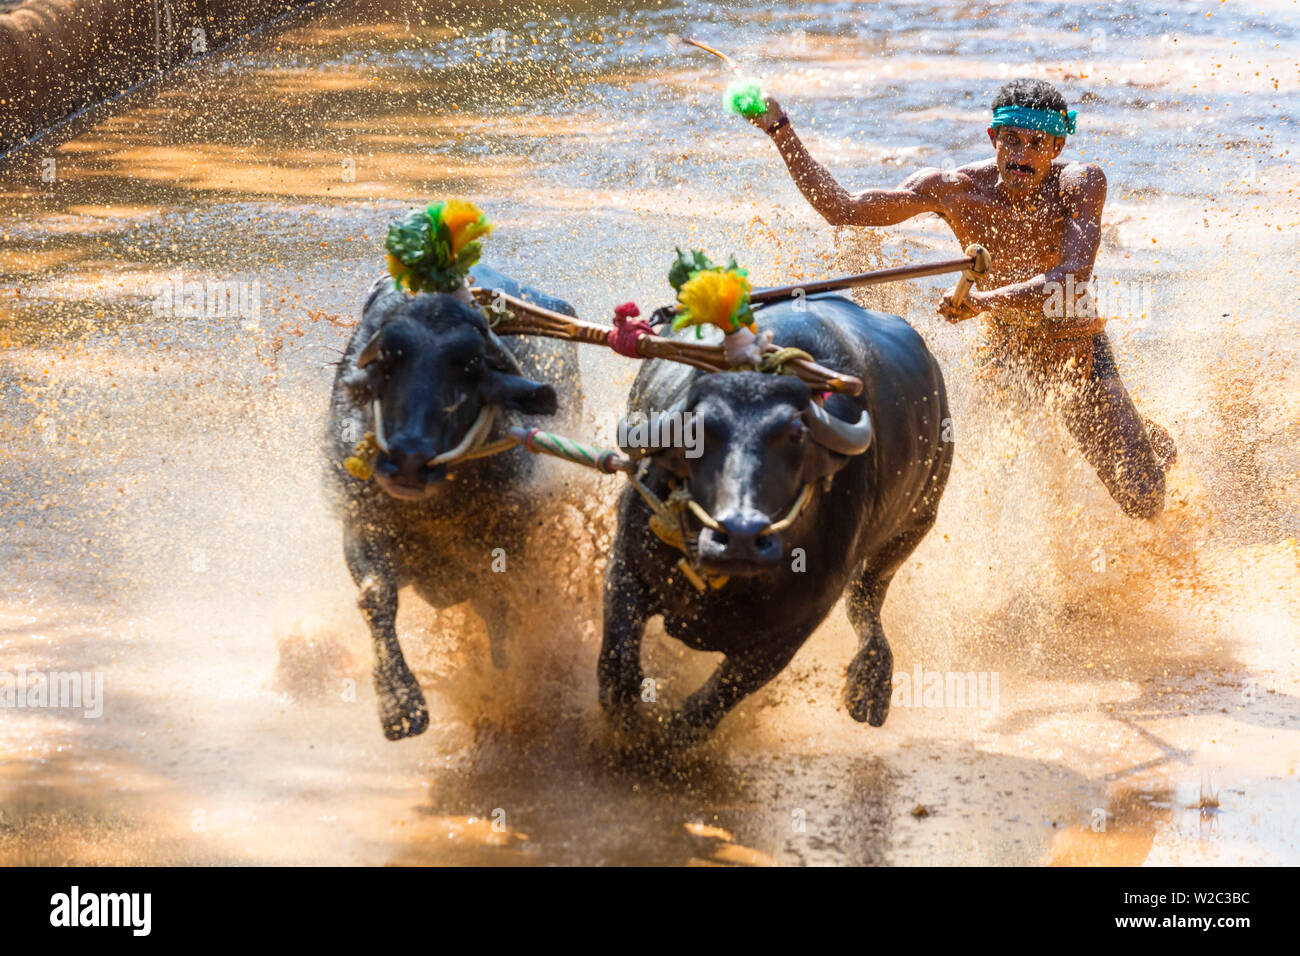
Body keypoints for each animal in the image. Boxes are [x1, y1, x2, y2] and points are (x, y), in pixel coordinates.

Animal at [326, 264, 581, 740]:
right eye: (388, 358)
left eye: (472, 364)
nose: (409, 459)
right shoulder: (360, 524)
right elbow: (376, 597)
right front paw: (400, 706)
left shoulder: (512, 546)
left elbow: (500, 613)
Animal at [600, 294, 952, 744]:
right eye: (694, 434)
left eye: (796, 437)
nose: (740, 535)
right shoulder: (626, 565)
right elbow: (619, 672)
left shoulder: (787, 637)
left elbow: (706, 709)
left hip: (915, 524)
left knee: (866, 599)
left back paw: (870, 686)